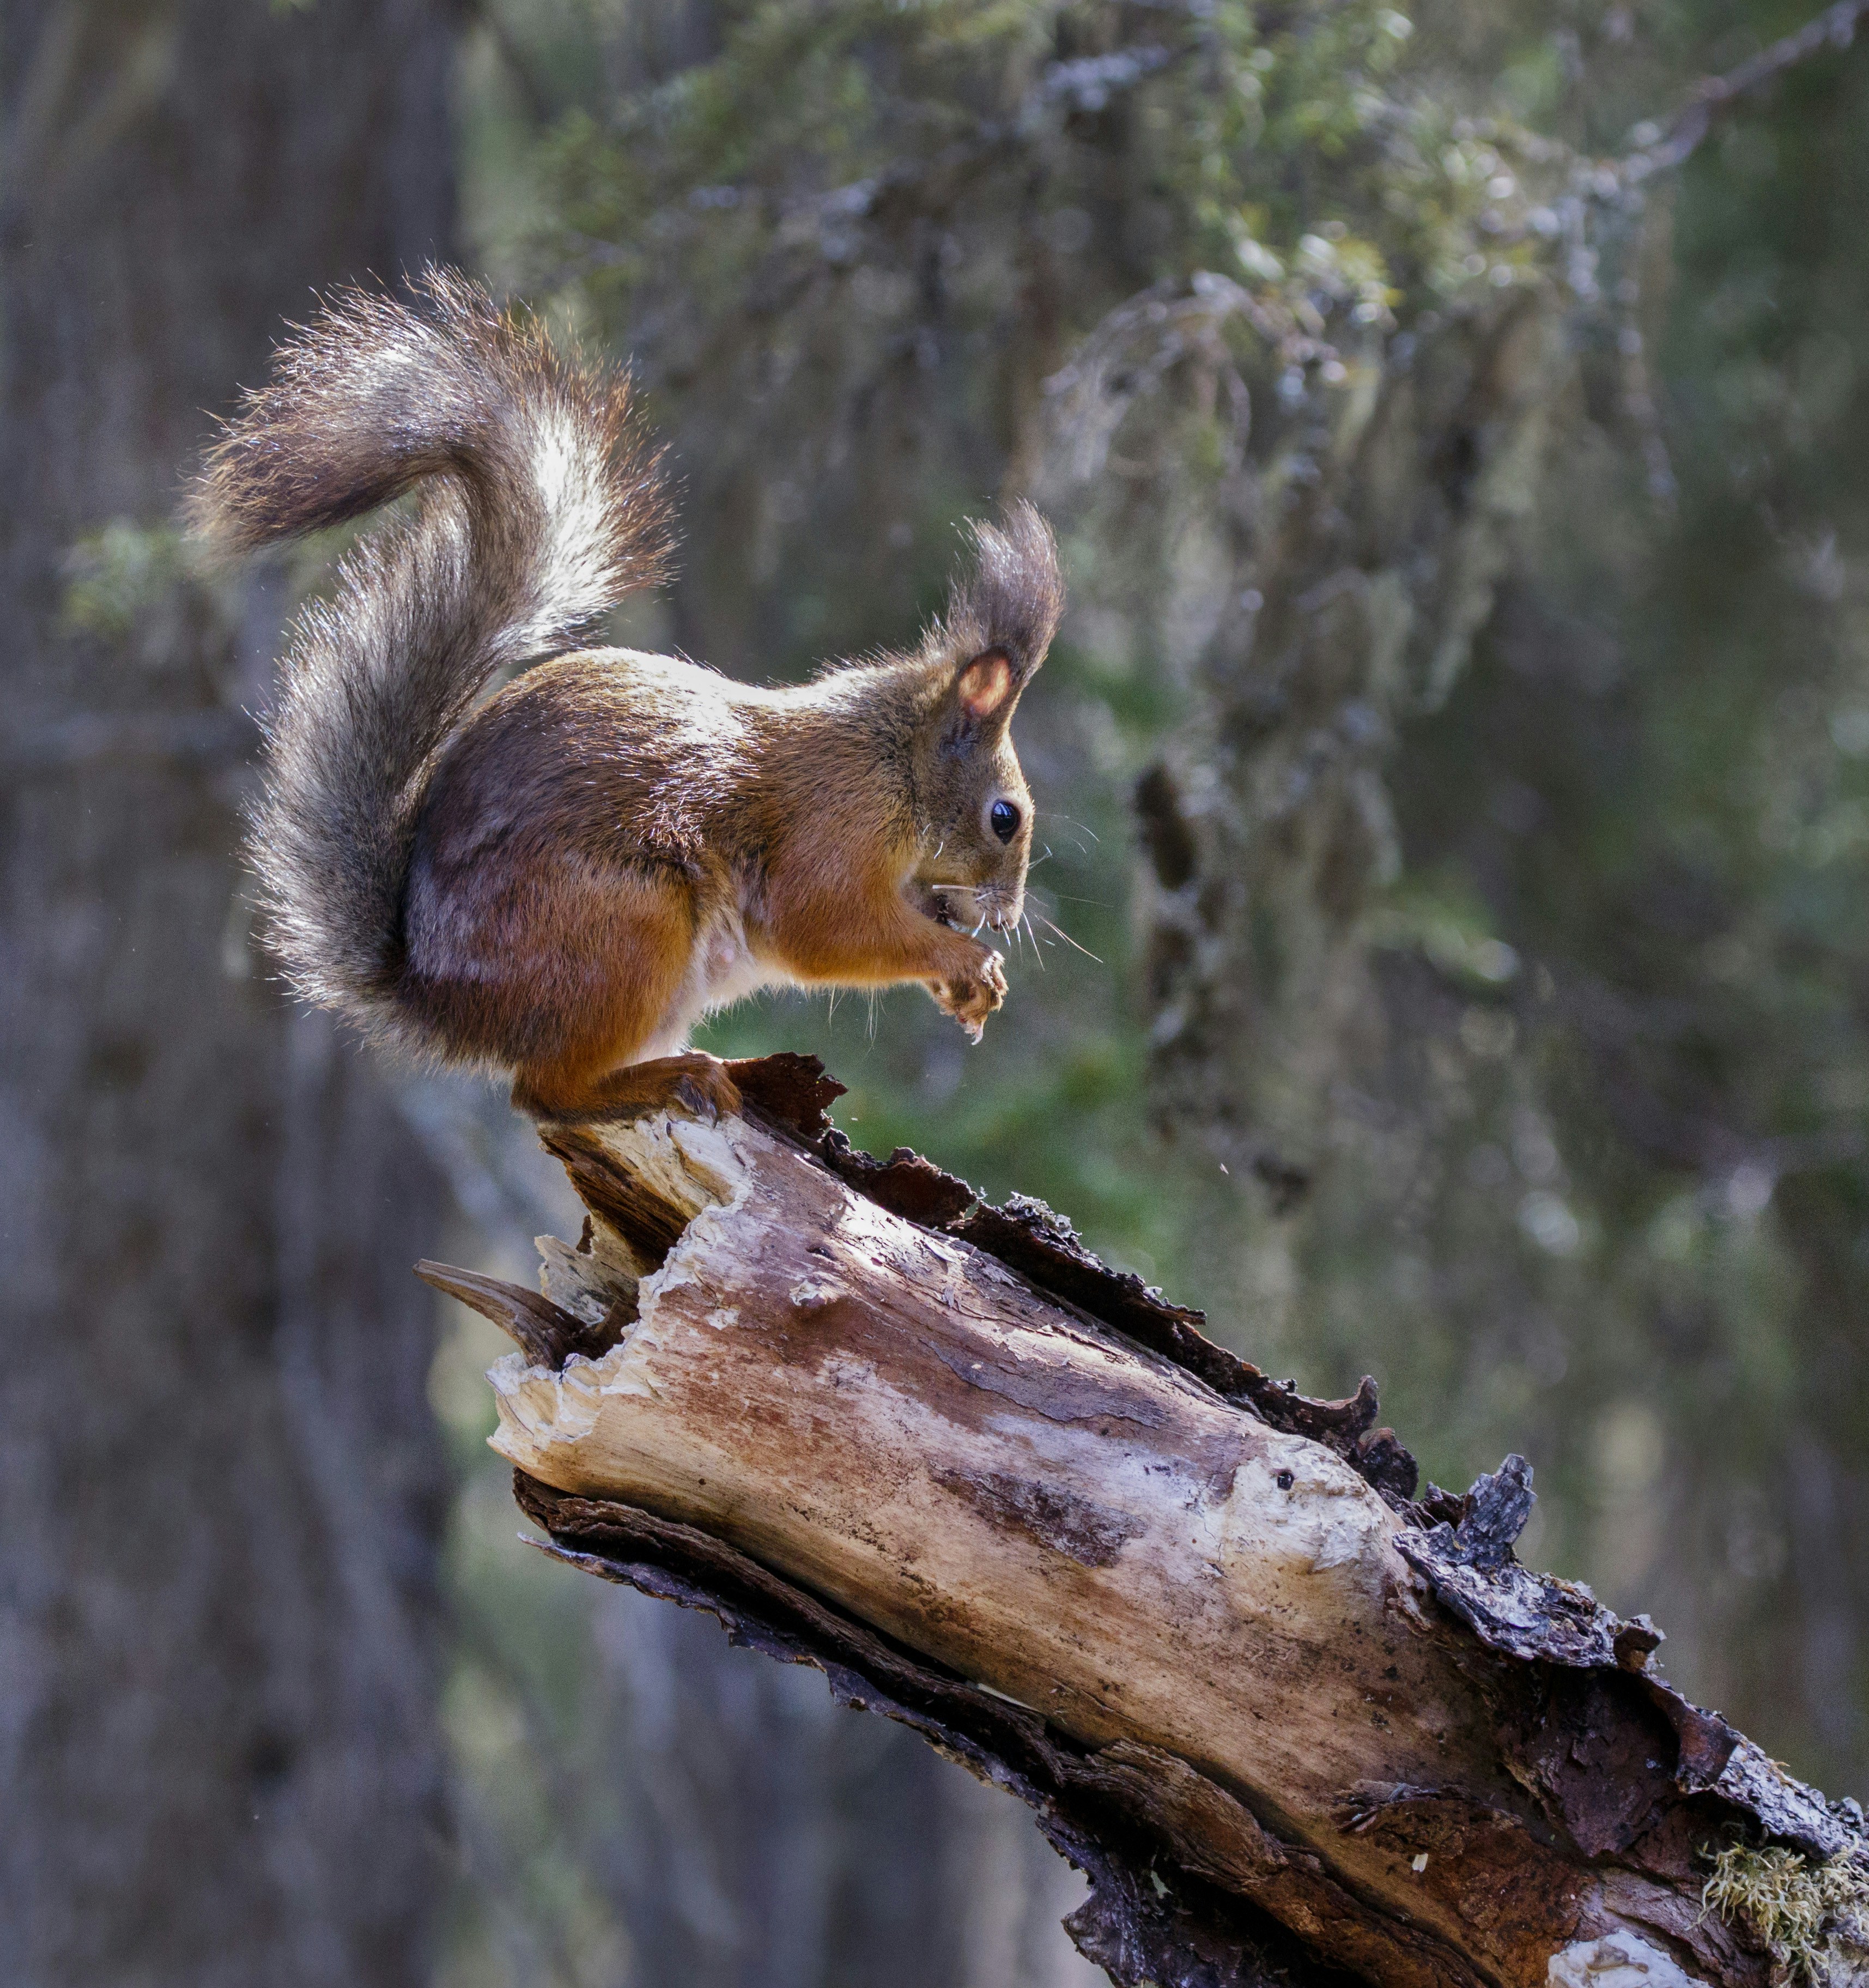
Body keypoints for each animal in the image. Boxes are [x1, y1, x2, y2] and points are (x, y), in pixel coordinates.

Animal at [190, 270, 1064, 1120]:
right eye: (1005, 817)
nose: (1007, 917)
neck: (890, 757)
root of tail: (443, 1000)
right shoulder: (831, 826)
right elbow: (823, 927)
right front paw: (965, 961)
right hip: (628, 929)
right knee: (544, 1093)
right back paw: (672, 1076)